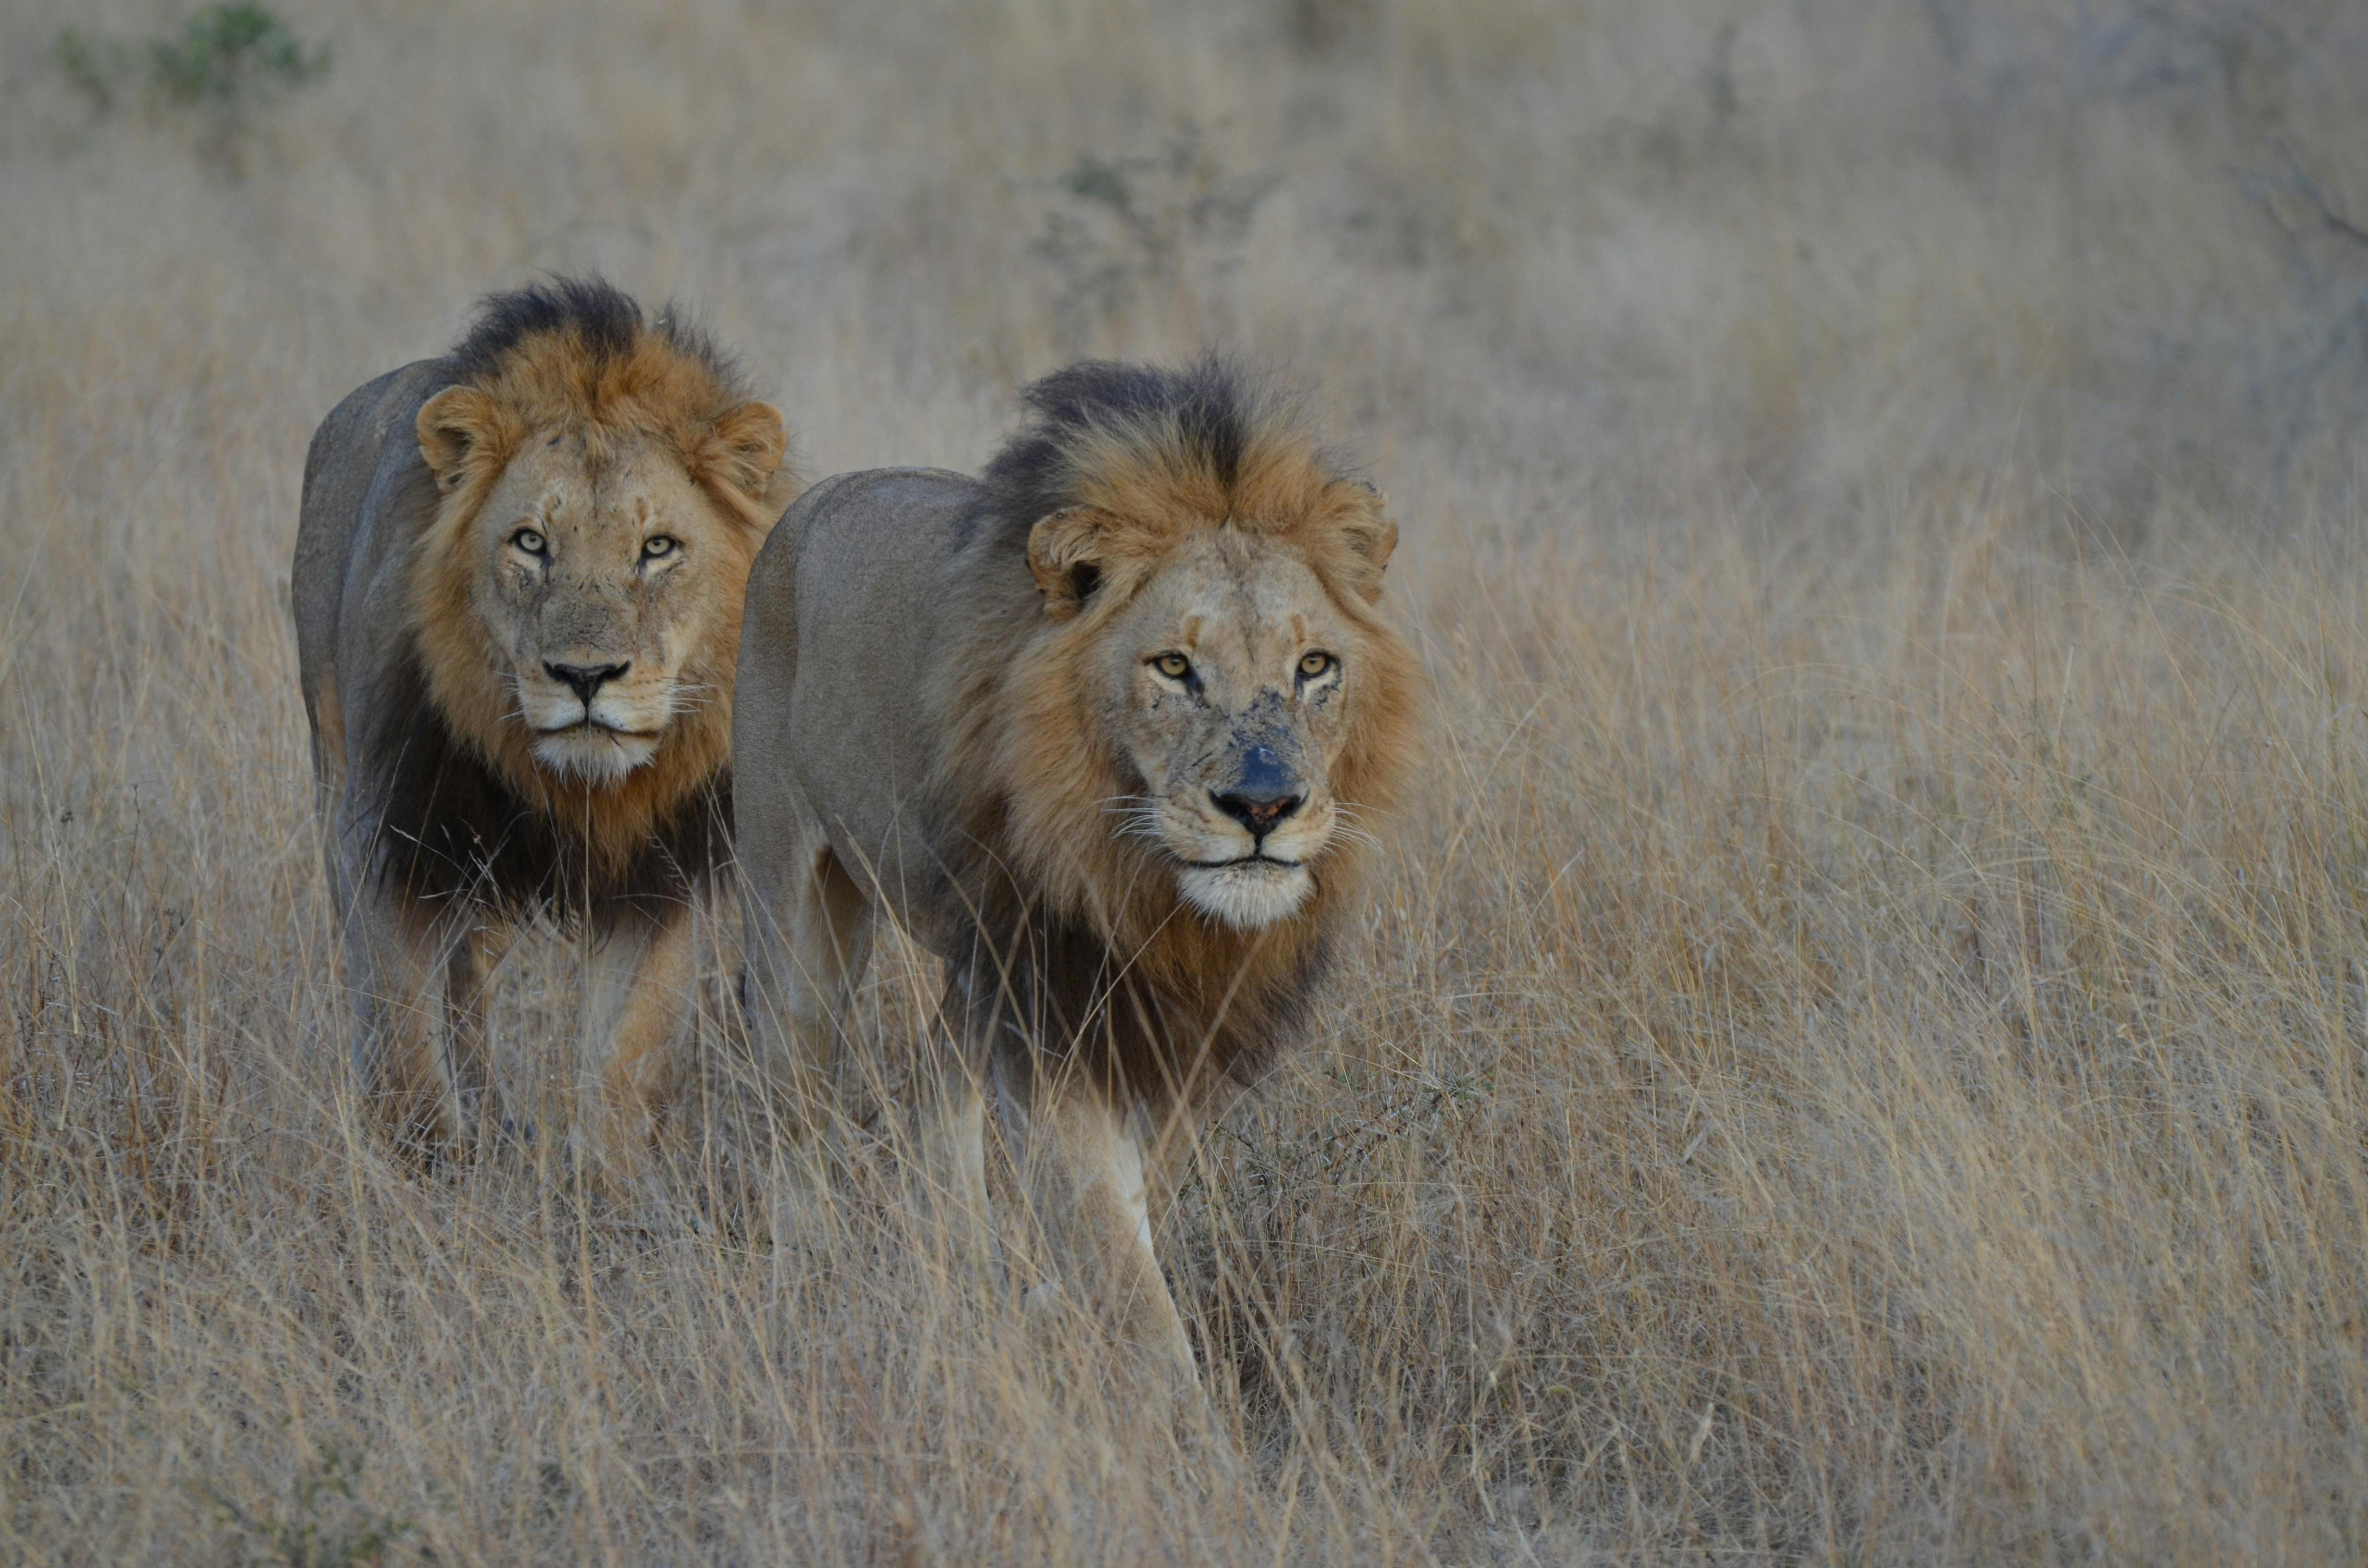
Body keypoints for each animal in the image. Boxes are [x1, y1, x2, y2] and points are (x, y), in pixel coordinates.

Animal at [292, 277, 798, 1178]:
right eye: (530, 542)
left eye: (657, 548)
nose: (586, 677)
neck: (573, 787)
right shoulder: (394, 836)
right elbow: (401, 1039)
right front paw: (425, 1171)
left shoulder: (664, 873)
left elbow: (628, 1054)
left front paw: (605, 1183)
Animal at [734, 358, 1419, 1377]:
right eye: (1173, 666)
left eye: (1313, 666)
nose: (1262, 807)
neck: (1147, 888)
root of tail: (811, 499)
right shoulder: (1054, 1013)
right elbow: (1125, 1275)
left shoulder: (1162, 1024)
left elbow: (1126, 1212)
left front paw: (1050, 1301)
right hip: (797, 909)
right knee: (793, 1101)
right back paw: (802, 1283)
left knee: (934, 1083)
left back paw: (963, 1277)